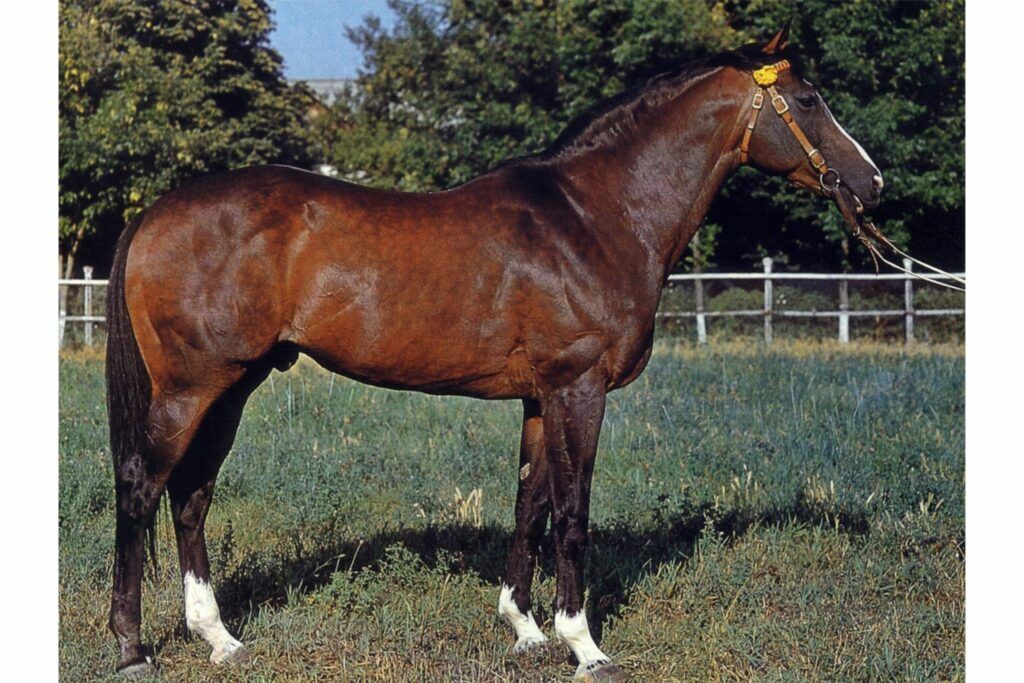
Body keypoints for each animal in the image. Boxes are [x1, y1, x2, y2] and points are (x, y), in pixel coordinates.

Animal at [104, 28, 884, 679]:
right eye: (808, 100)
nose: (872, 183)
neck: (595, 216)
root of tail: (153, 214)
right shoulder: (578, 389)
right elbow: (571, 512)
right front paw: (585, 645)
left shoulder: (541, 397)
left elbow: (529, 504)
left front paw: (527, 629)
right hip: (191, 387)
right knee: (143, 486)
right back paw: (133, 647)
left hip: (233, 385)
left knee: (192, 494)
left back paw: (220, 638)